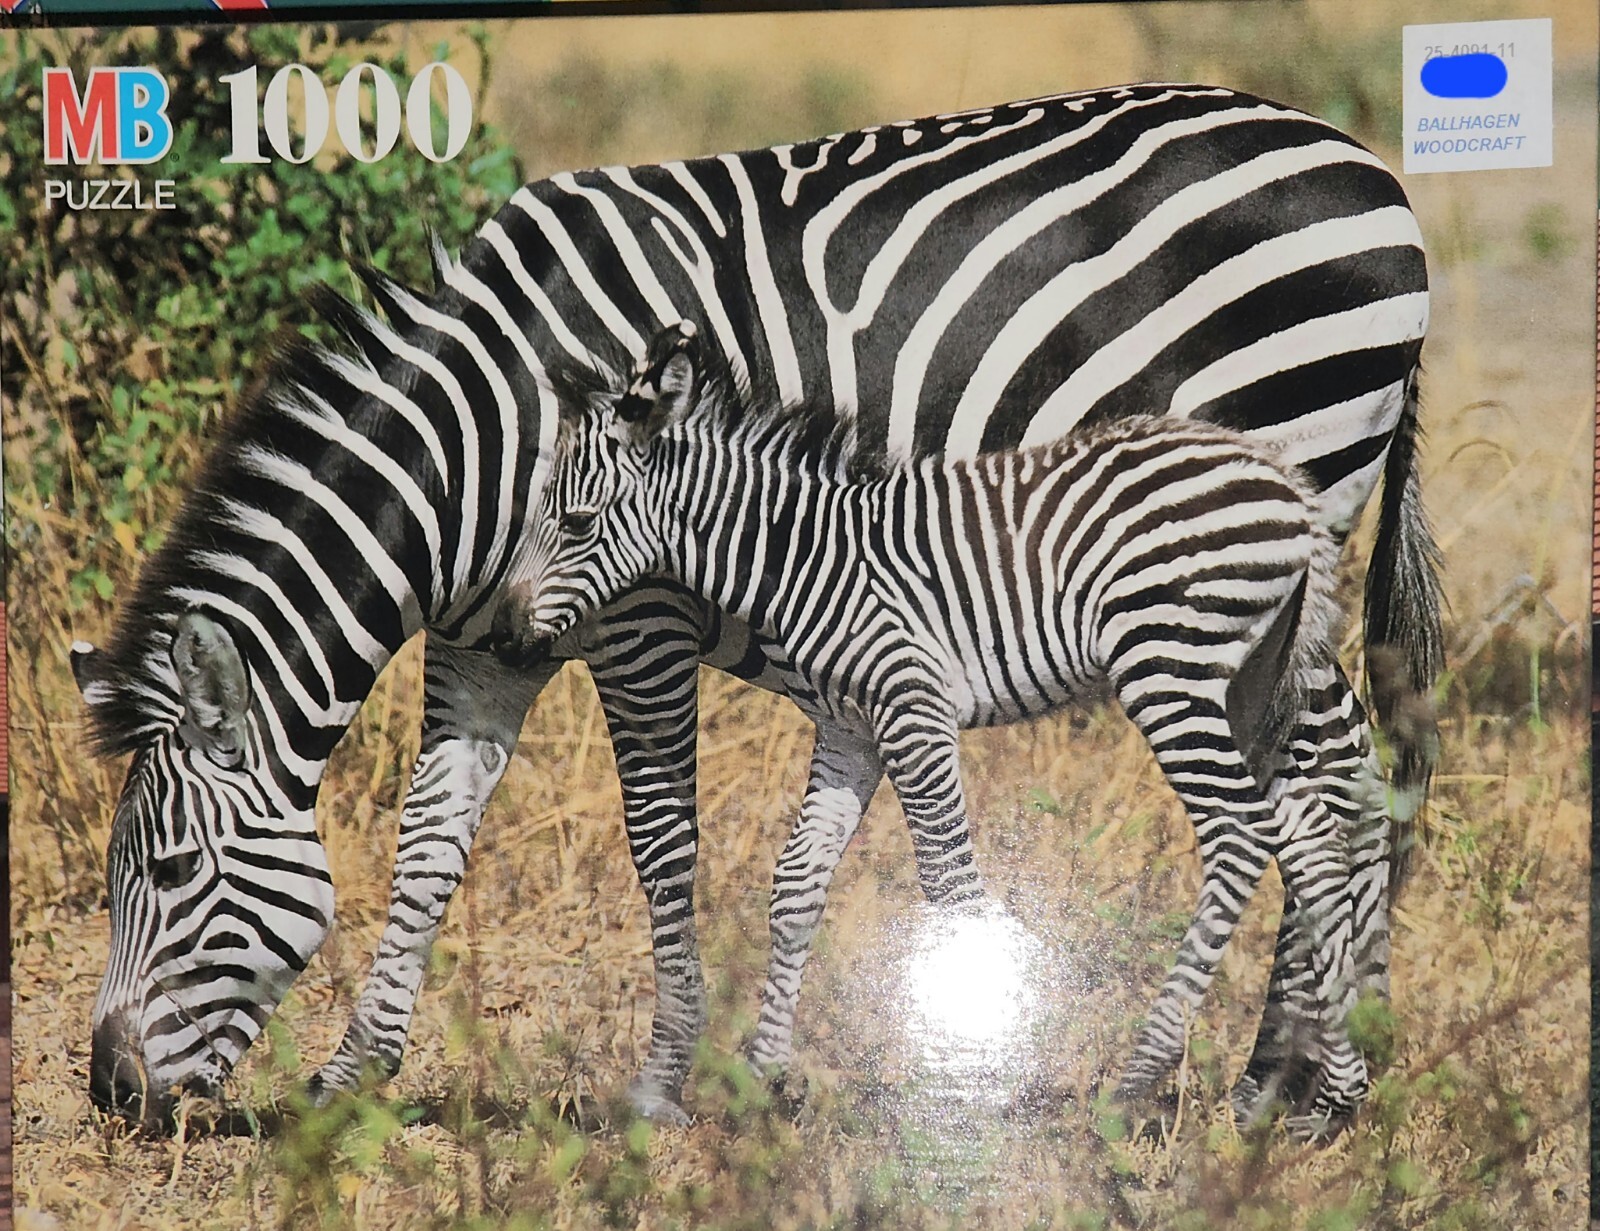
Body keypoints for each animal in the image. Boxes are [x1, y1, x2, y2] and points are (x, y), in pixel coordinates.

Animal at [496, 320, 1380, 1138]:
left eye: (577, 523)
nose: (506, 640)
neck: (804, 559)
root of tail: (1285, 485)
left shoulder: (912, 708)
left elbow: (951, 885)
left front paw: (979, 1076)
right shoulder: (849, 729)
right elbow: (797, 884)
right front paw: (761, 1080)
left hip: (1169, 663)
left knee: (1238, 831)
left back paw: (1136, 1079)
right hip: (1250, 681)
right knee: (1306, 834)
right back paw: (1338, 1093)